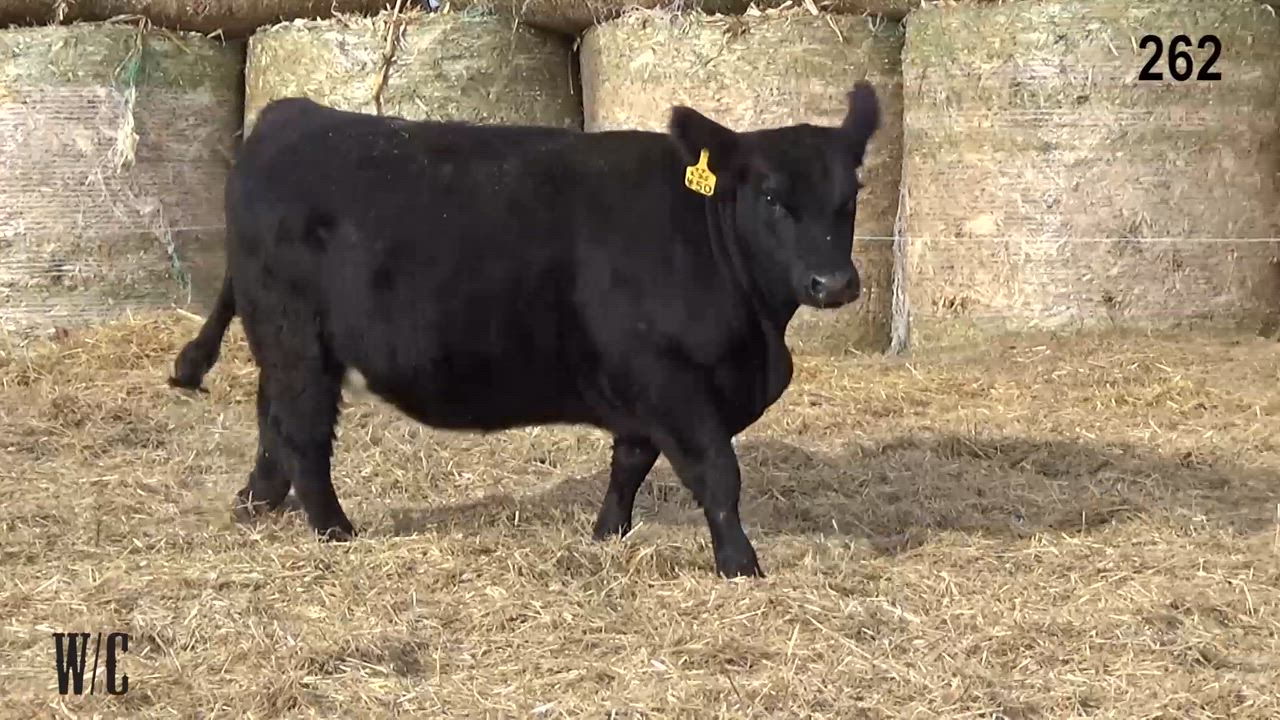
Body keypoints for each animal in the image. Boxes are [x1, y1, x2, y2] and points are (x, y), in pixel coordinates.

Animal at [169, 81, 882, 578]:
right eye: (771, 197)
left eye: (849, 197)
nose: (833, 282)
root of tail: (289, 114)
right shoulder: (669, 379)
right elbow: (718, 474)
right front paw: (740, 565)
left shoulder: (638, 388)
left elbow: (629, 462)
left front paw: (608, 534)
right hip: (297, 337)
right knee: (304, 432)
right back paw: (335, 531)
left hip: (285, 342)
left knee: (273, 421)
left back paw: (258, 504)